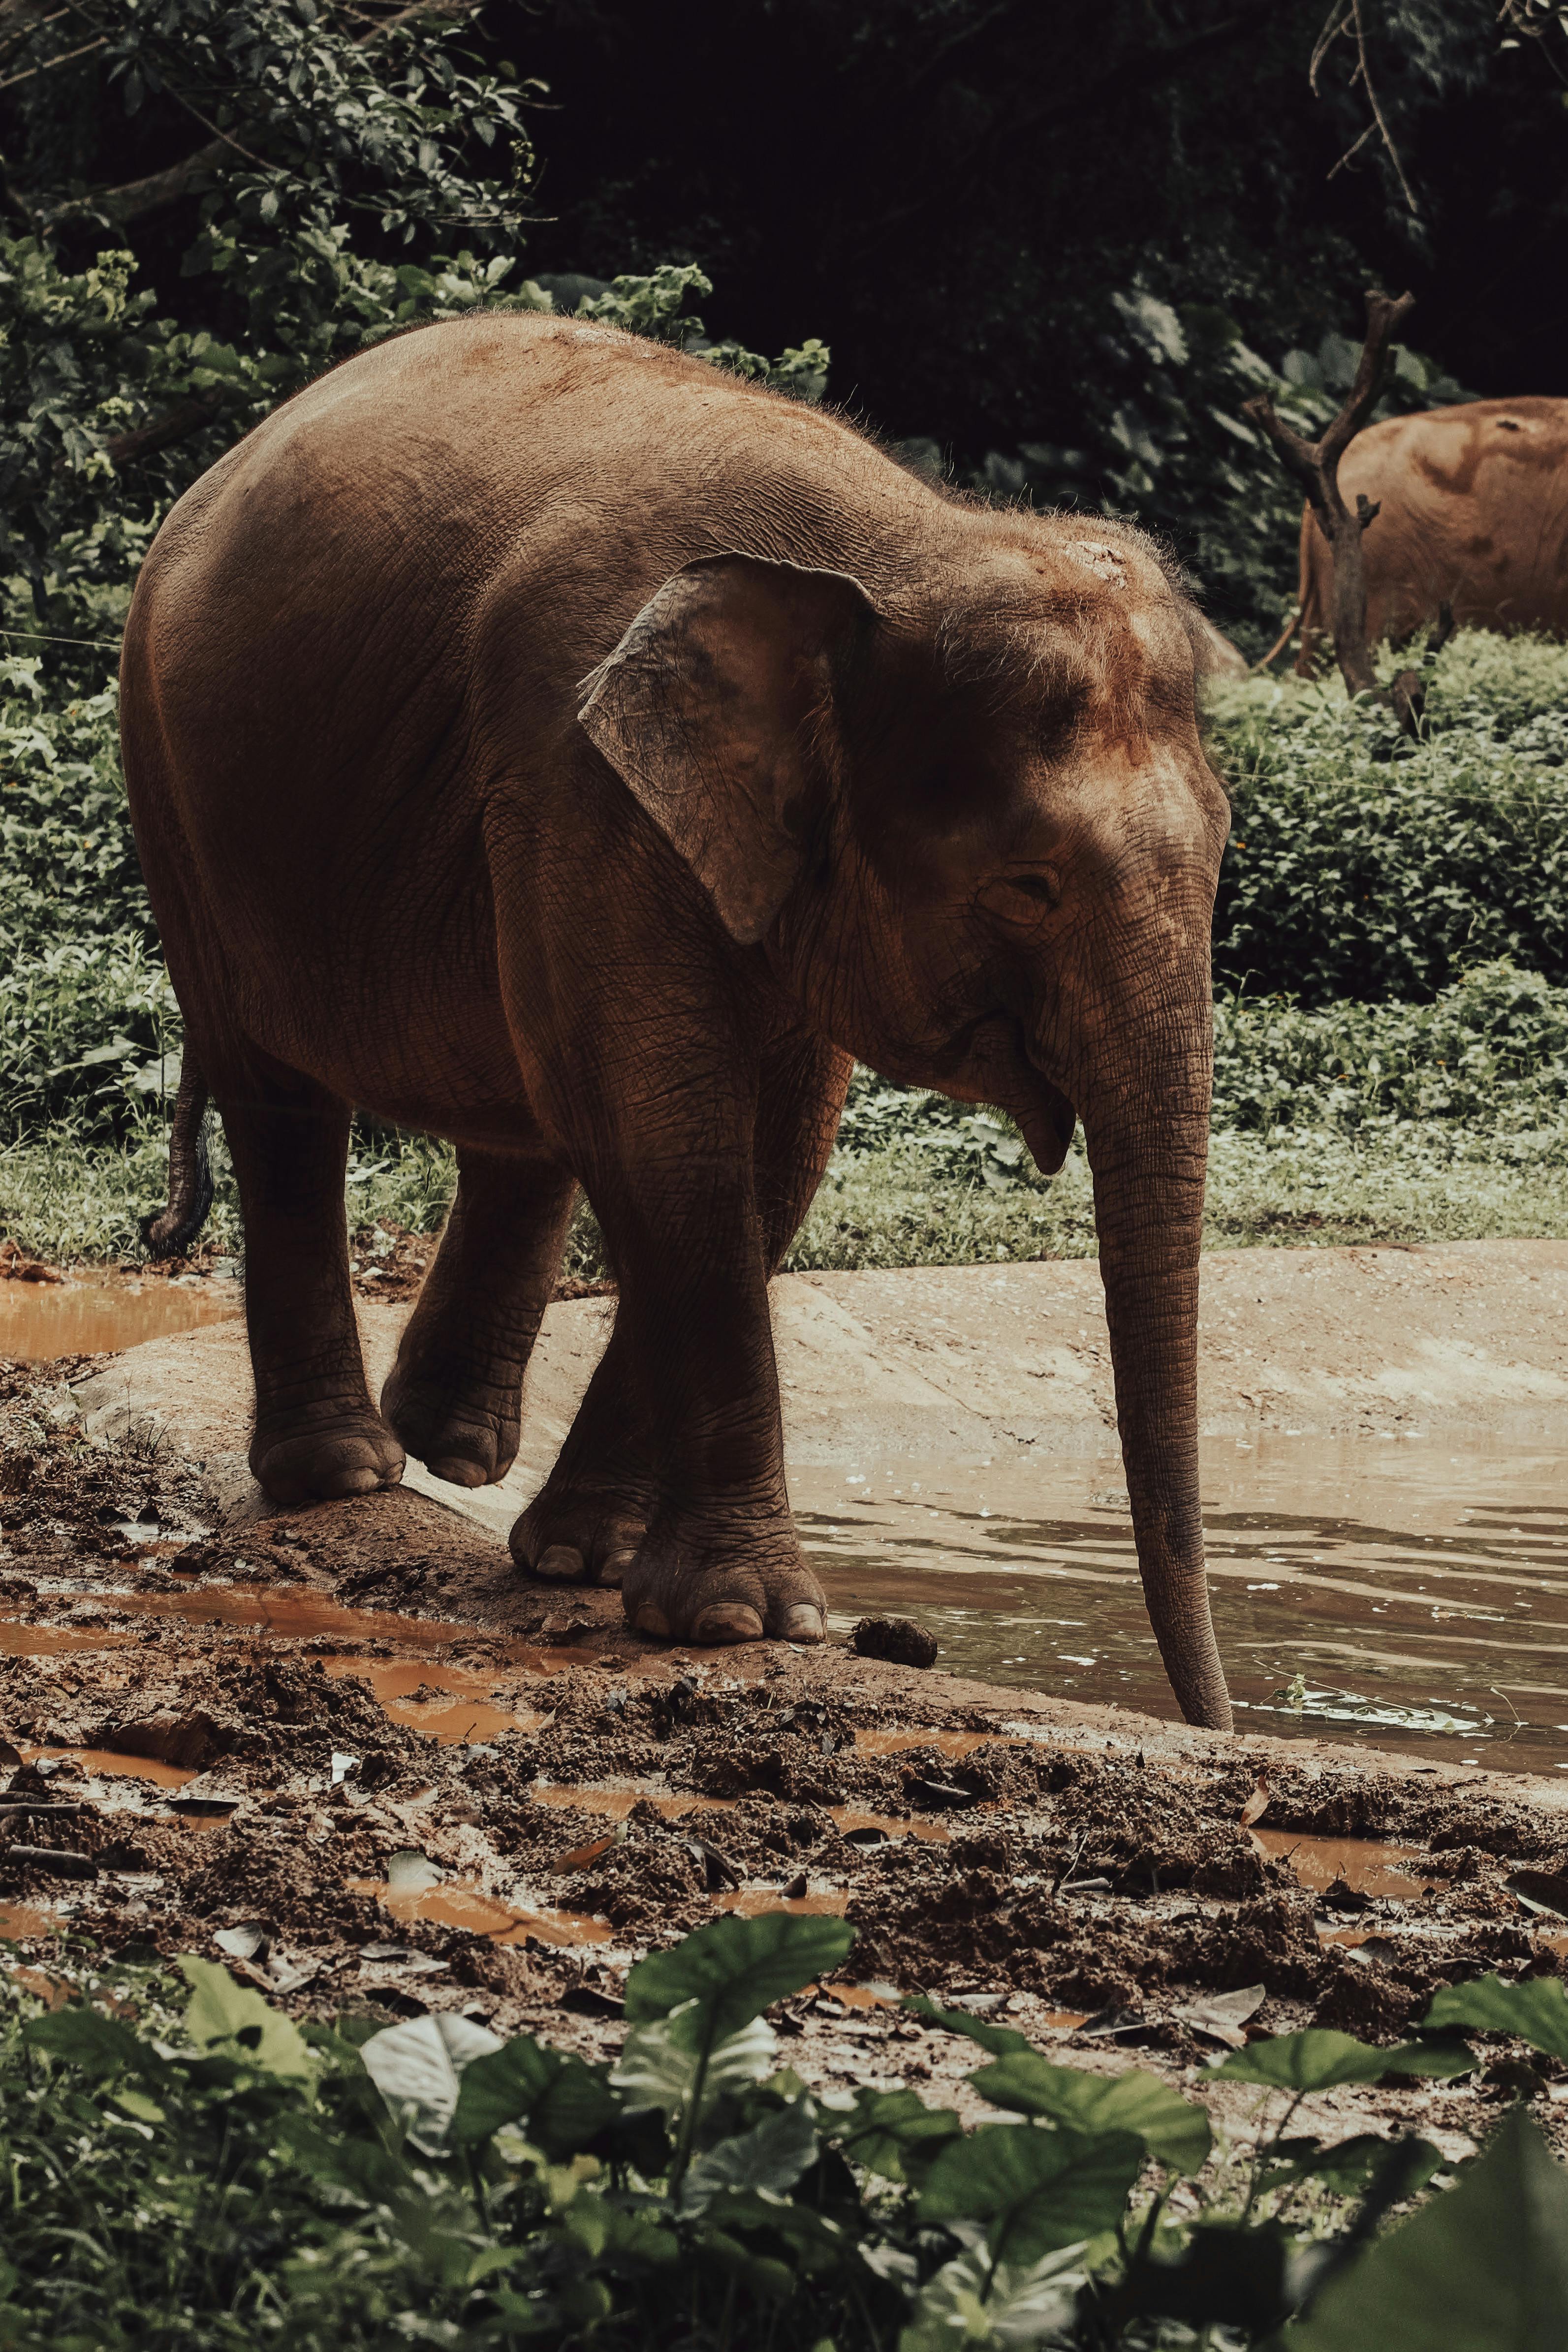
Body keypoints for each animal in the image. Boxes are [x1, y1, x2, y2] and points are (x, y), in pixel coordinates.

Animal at [120, 312, 1234, 1731]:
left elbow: (761, 1151)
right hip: (173, 777)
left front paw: (589, 1565)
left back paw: (454, 1451)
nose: (1214, 1720)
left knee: (521, 1103)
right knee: (286, 1100)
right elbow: (669, 1127)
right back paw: (352, 1475)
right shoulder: (575, 772)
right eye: (1028, 886)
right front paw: (740, 1621)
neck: (899, 543)